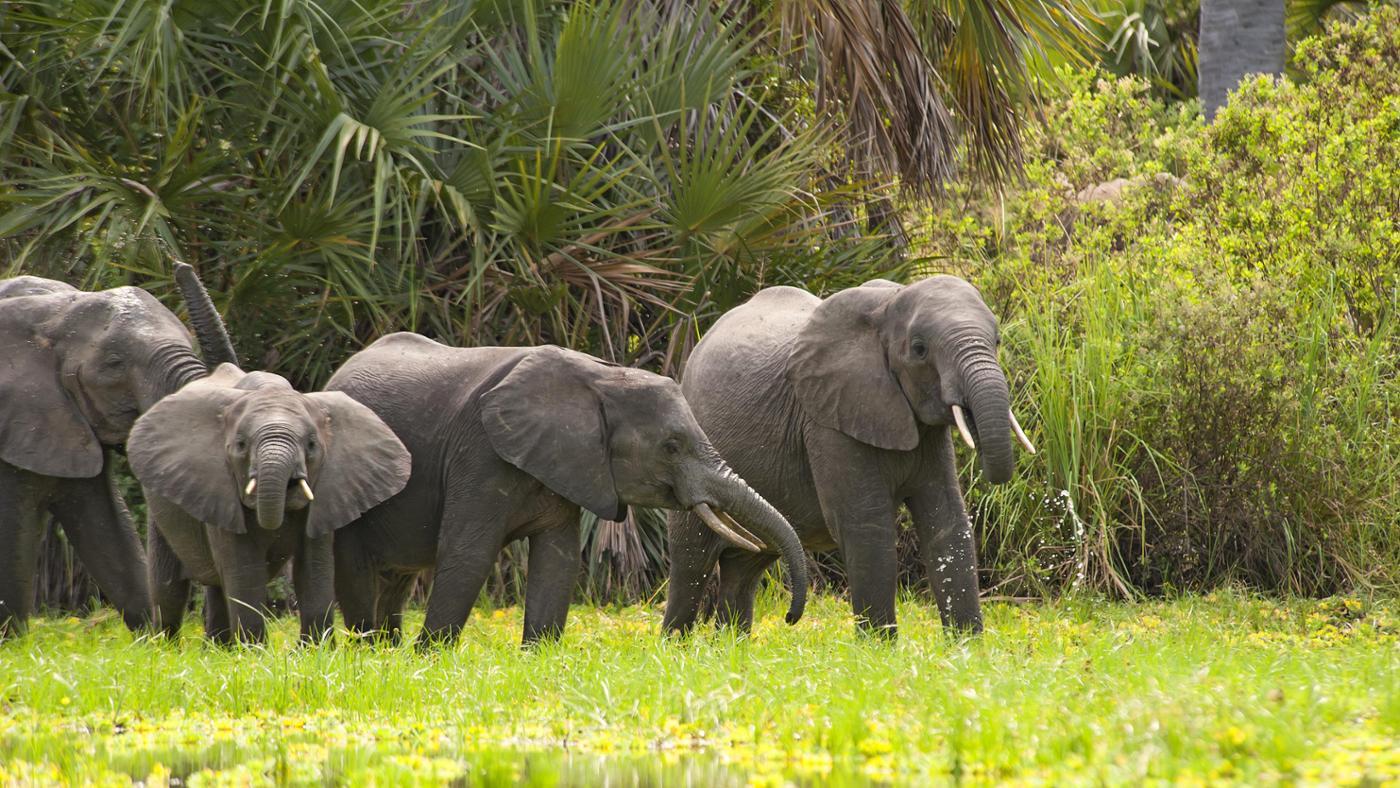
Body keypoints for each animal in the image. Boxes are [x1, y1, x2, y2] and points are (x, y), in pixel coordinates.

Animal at [0, 265, 233, 636]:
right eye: (114, 363)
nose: (179, 266)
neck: (52, 313)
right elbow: (11, 530)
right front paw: (13, 641)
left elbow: (107, 528)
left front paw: (148, 640)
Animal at [126, 363, 412, 643]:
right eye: (241, 445)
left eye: (311, 445)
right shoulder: (220, 490)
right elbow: (244, 568)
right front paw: (254, 651)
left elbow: (314, 565)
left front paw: (314, 650)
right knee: (168, 586)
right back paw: (166, 646)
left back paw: (218, 648)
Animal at [324, 333, 809, 646]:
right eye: (671, 447)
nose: (789, 618)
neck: (599, 379)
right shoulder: (479, 454)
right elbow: (469, 553)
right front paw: (430, 659)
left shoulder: (567, 463)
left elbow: (558, 560)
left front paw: (537, 655)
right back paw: (371, 652)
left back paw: (387, 651)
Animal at [662, 276, 1036, 637]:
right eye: (919, 349)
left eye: (997, 341)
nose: (789, 619)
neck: (888, 305)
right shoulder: (827, 420)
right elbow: (866, 525)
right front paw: (879, 648)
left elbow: (946, 521)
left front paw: (967, 647)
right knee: (692, 560)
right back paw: (677, 646)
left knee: (745, 565)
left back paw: (730, 647)